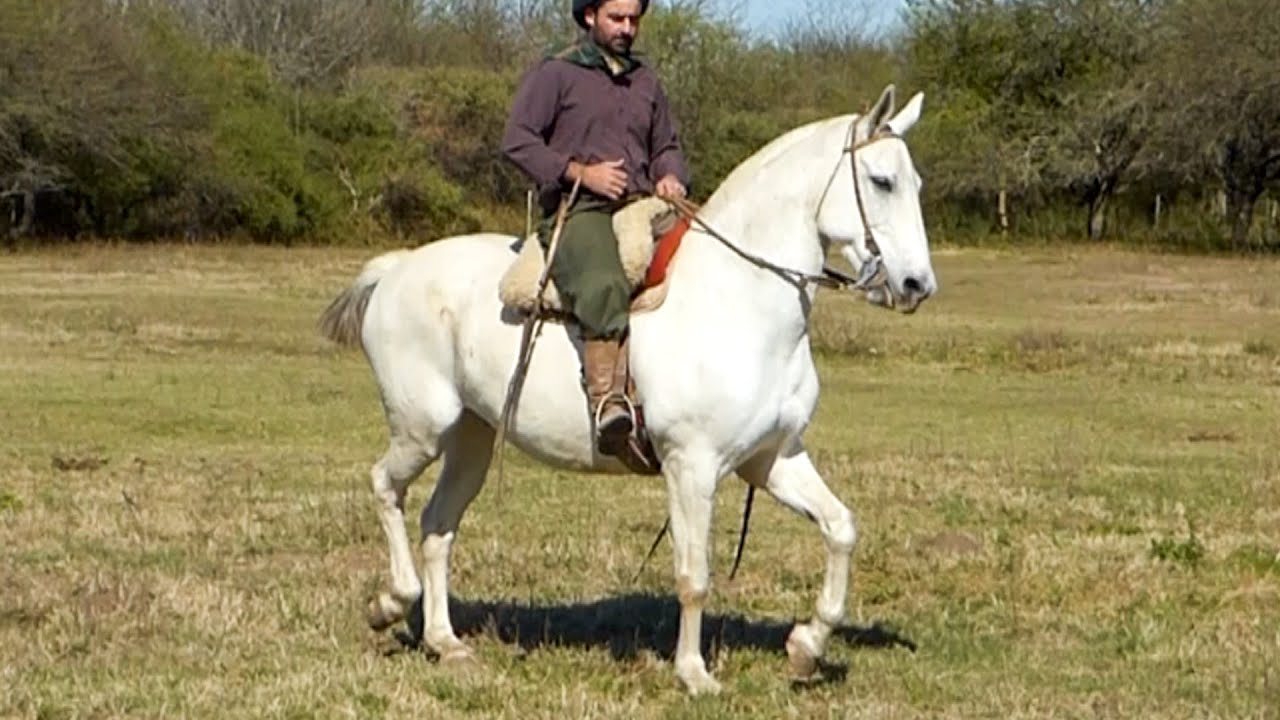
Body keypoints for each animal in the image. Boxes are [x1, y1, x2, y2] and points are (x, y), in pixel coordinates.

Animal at [319, 84, 937, 694]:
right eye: (882, 181)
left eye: (915, 184)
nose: (917, 285)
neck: (738, 299)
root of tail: (396, 269)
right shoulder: (691, 467)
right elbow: (693, 576)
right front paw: (694, 673)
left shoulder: (772, 459)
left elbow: (840, 528)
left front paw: (807, 647)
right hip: (421, 428)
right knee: (385, 486)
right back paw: (390, 603)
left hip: (470, 439)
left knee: (437, 526)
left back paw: (445, 642)